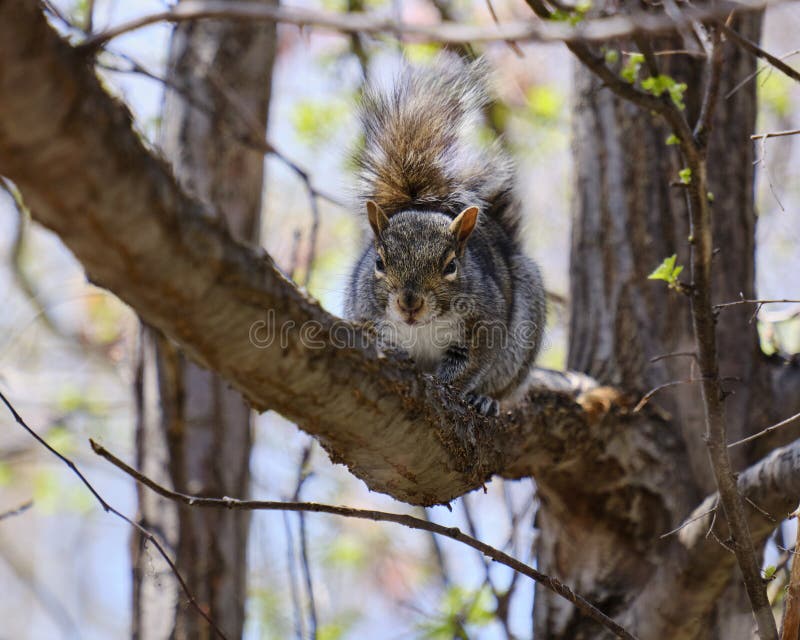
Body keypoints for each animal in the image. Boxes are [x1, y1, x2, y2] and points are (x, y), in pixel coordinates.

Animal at [345, 57, 546, 416]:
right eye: (379, 262)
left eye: (451, 266)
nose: (409, 303)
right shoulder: (365, 314)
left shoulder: (485, 323)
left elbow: (466, 368)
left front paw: (455, 390)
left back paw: (487, 399)